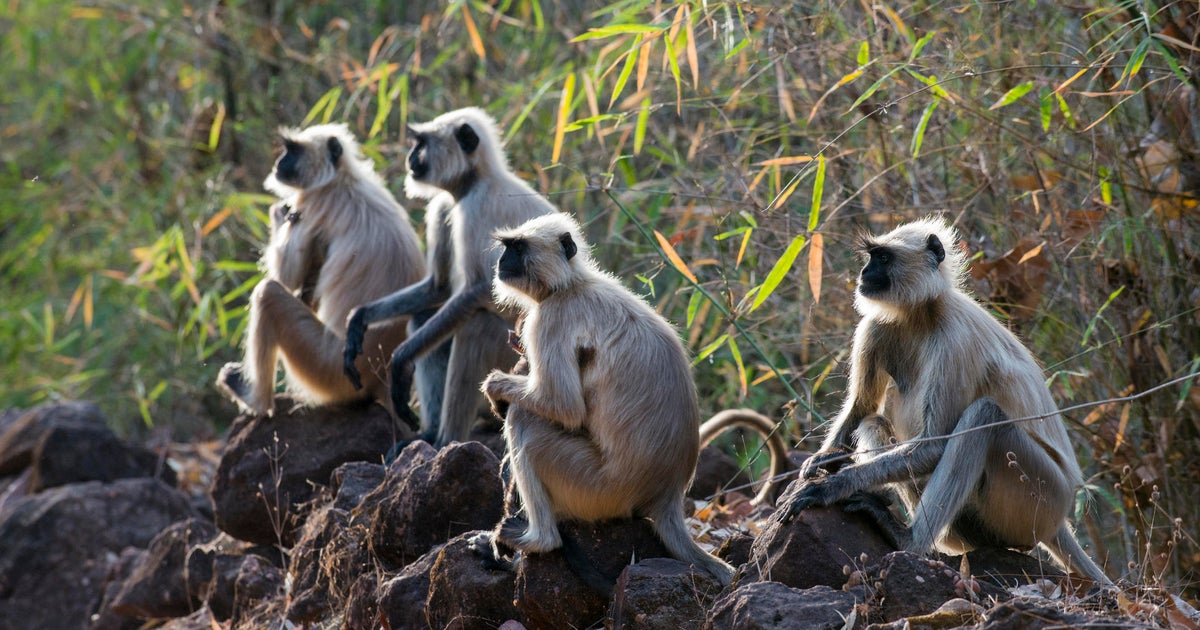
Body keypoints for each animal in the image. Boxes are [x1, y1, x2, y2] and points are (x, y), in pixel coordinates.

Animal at [216, 123, 425, 417]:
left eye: (292, 151)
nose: (279, 163)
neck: (342, 179)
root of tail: (381, 378)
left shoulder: (312, 203)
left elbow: (285, 275)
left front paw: (280, 212)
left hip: (326, 370)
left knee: (268, 293)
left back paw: (256, 400)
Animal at [344, 107, 557, 445]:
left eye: (421, 144)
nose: (410, 157)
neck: (474, 180)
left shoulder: (476, 206)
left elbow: (480, 289)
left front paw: (399, 362)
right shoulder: (445, 205)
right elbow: (439, 287)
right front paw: (359, 320)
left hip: (520, 355)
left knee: (475, 326)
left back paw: (448, 442)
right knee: (424, 318)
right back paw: (431, 434)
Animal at [478, 213, 735, 586]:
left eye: (518, 248)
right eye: (508, 247)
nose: (501, 262)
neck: (572, 285)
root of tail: (667, 494)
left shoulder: (551, 319)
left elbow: (564, 406)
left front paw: (495, 387)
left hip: (595, 488)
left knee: (525, 421)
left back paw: (539, 540)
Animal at [779, 216, 1111, 585]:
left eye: (882, 258)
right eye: (871, 257)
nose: (864, 273)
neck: (920, 313)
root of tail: (1061, 519)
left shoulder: (955, 341)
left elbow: (934, 445)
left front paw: (833, 486)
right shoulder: (875, 325)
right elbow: (863, 406)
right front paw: (823, 461)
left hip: (1040, 498)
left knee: (982, 416)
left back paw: (908, 540)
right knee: (874, 421)